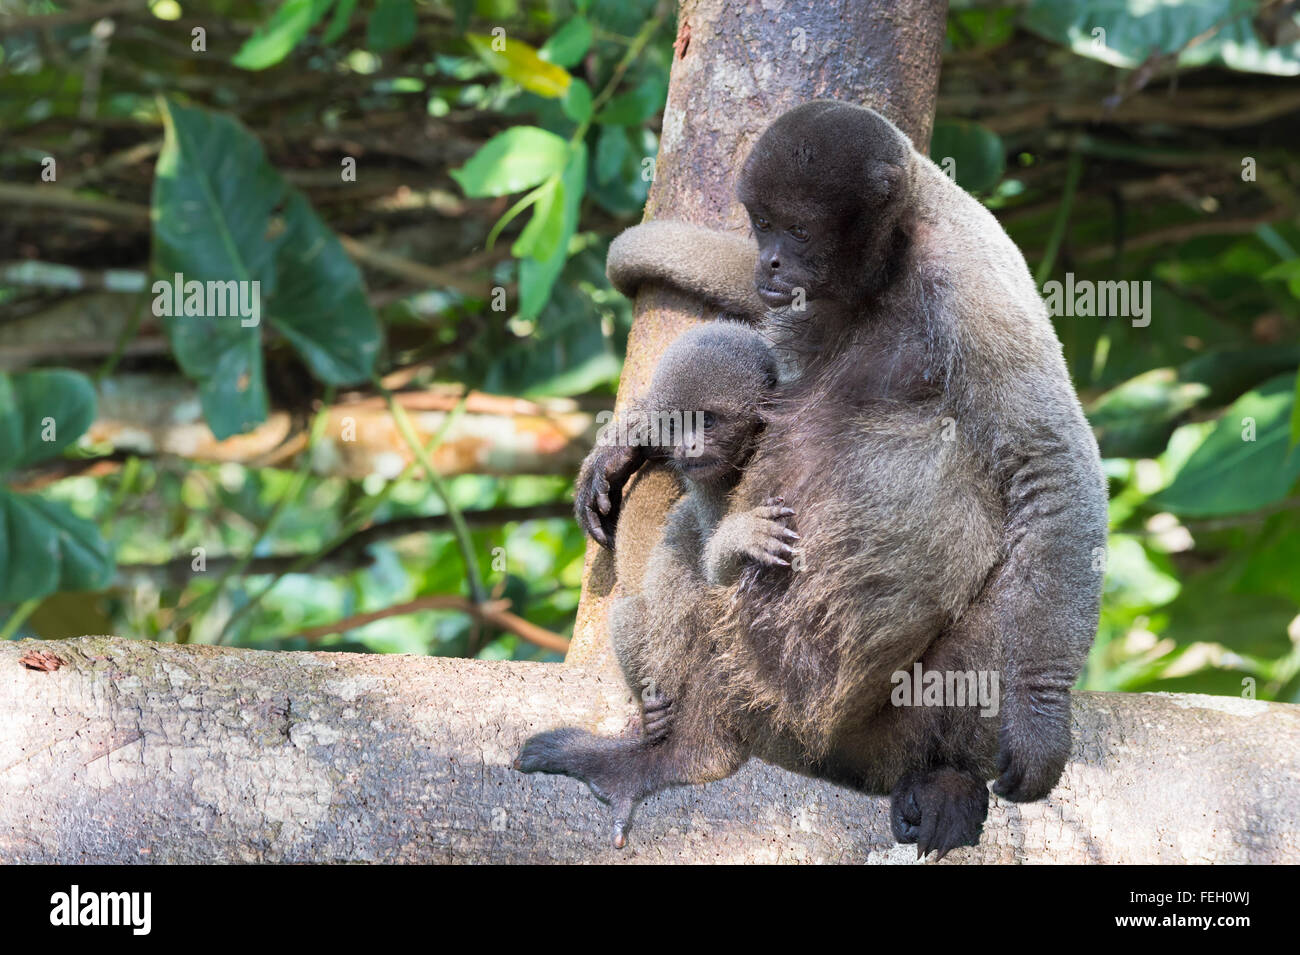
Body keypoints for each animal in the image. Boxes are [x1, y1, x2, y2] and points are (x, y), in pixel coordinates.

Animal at [518, 101, 1109, 859]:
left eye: (797, 229)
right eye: (761, 223)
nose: (769, 259)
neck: (886, 267)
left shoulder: (973, 282)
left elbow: (1047, 465)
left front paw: (1038, 719)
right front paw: (636, 433)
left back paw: (936, 771)